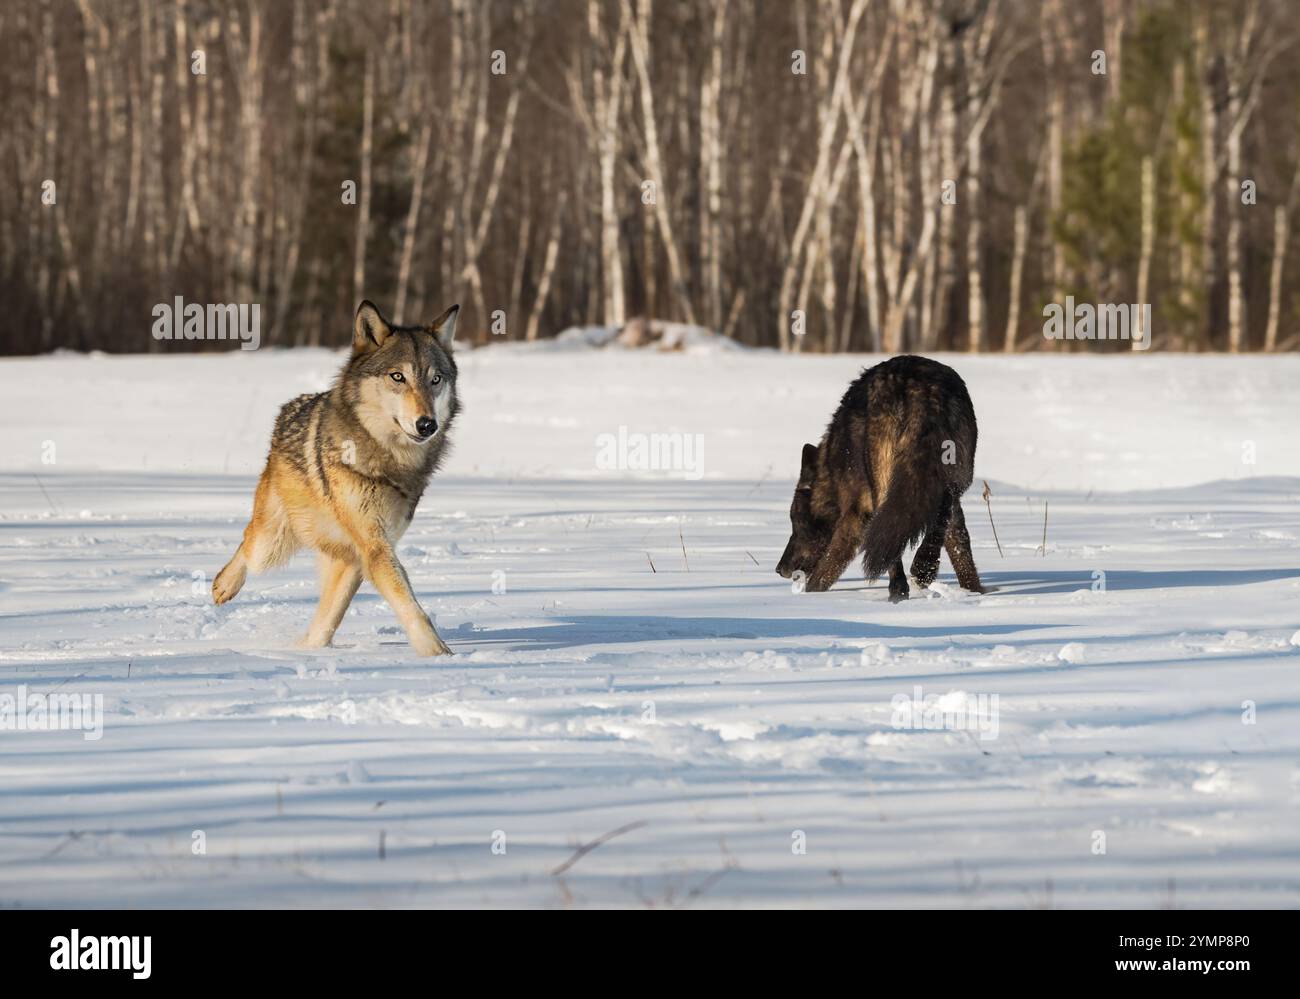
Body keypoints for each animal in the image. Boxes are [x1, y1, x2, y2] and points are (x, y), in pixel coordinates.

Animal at [213, 300, 461, 655]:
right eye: (397, 377)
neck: (389, 460)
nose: (427, 425)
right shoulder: (374, 547)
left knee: (326, 618)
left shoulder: (372, 549)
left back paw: (307, 648)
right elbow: (411, 606)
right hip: (272, 544)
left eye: (436, 379)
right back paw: (222, 586)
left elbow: (338, 615)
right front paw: (440, 655)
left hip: (345, 560)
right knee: (247, 544)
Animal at [775, 355, 985, 601]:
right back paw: (926, 569)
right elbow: (958, 542)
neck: (831, 467)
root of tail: (922, 389)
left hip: (884, 482)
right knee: (943, 511)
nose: (779, 568)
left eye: (796, 521)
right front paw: (972, 590)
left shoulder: (856, 513)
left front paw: (810, 594)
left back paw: (898, 590)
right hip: (953, 475)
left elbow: (828, 565)